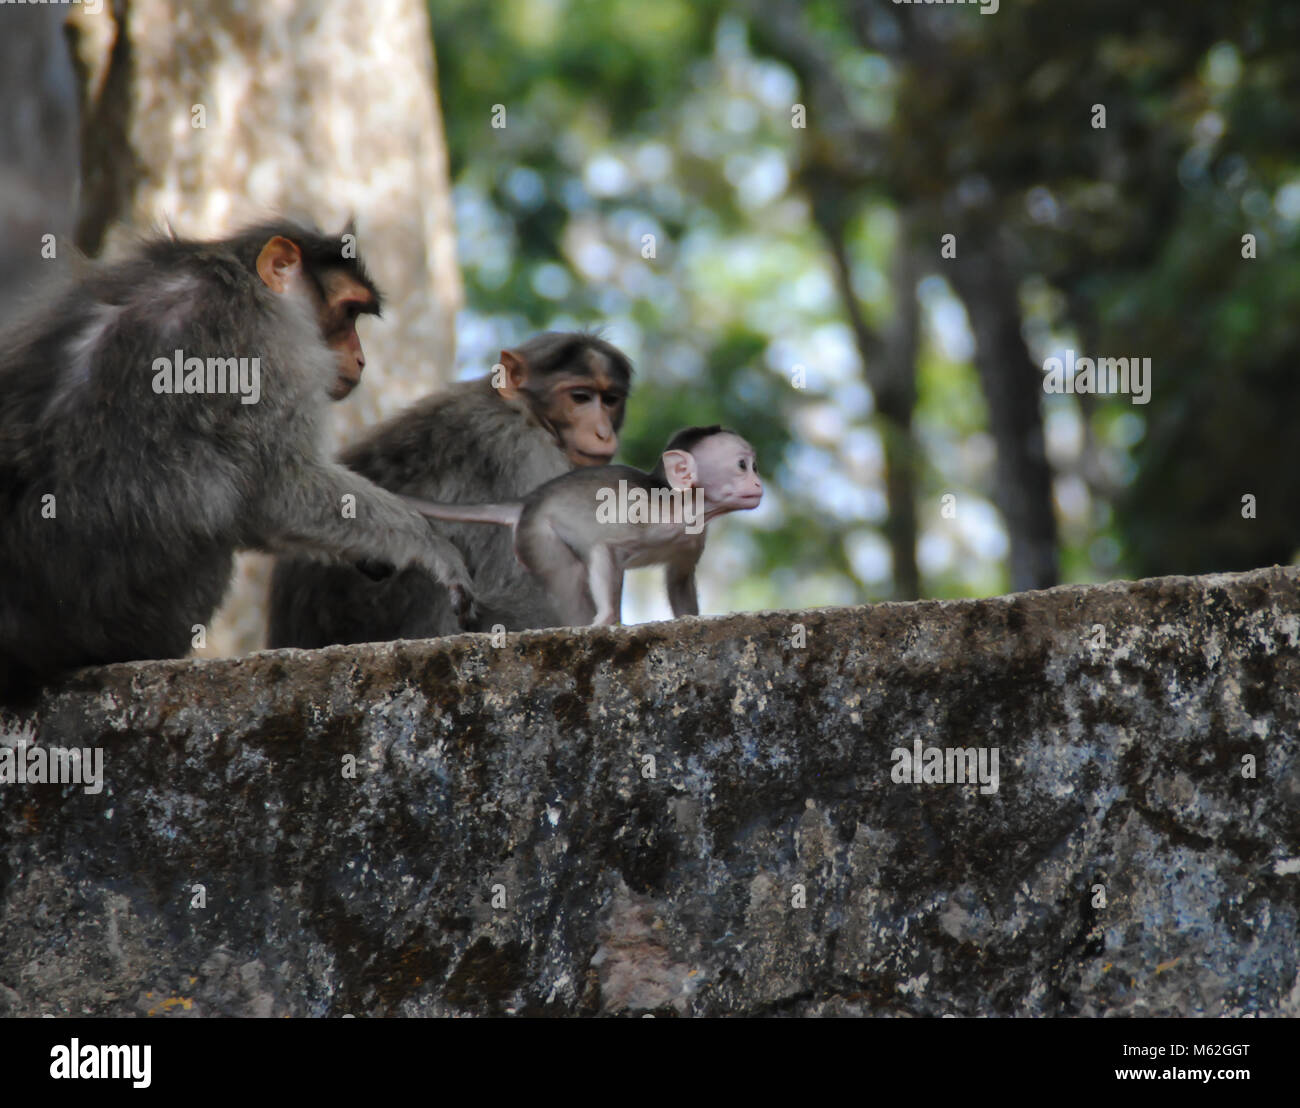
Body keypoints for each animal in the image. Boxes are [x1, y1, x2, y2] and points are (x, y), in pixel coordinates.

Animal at [0, 219, 476, 700]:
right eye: (347, 314)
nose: (360, 359)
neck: (243, 277)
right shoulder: (266, 341)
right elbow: (274, 492)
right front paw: (428, 544)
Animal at [266, 331, 633, 648]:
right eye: (580, 398)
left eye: (609, 400)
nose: (602, 432)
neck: (524, 412)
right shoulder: (526, 455)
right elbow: (520, 594)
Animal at [404, 426, 762, 626]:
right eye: (742, 465)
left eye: (753, 466)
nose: (758, 482)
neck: (682, 506)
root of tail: (528, 501)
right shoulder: (644, 513)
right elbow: (606, 548)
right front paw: (604, 621)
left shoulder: (693, 539)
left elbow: (679, 580)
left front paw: (690, 618)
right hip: (536, 533)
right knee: (570, 573)